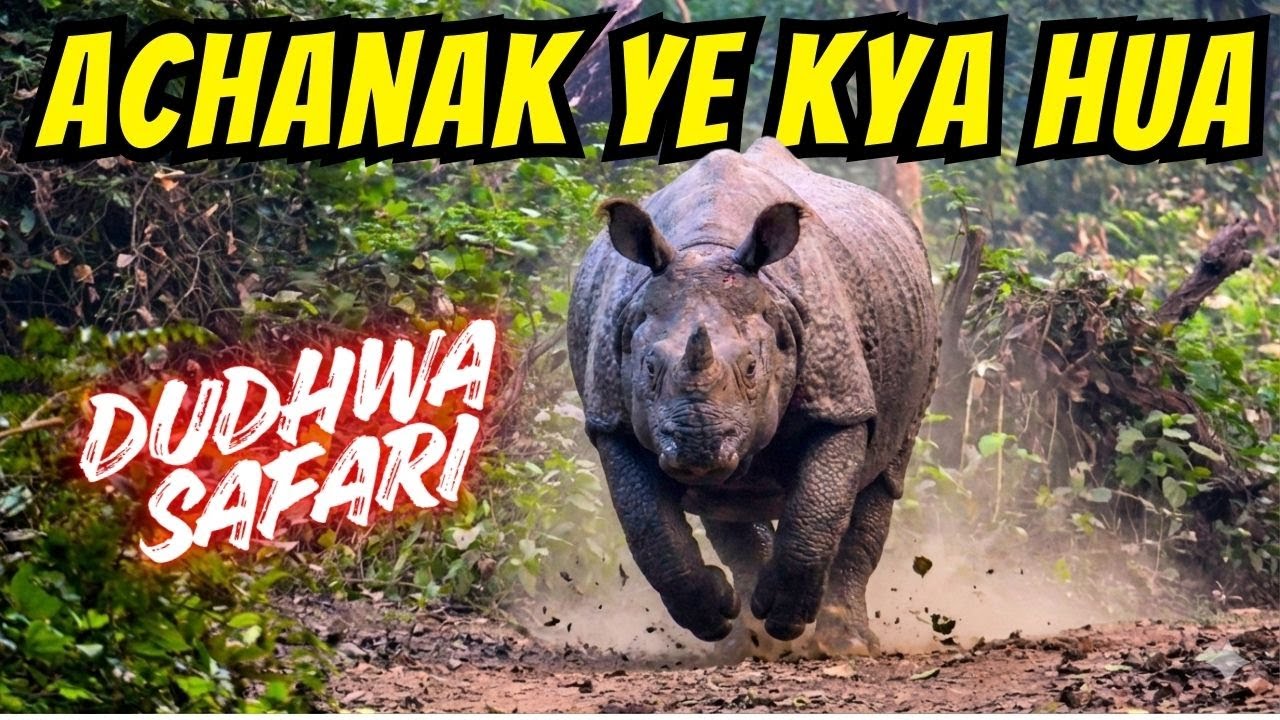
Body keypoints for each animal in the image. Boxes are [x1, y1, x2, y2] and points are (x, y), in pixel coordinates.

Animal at [567, 138, 939, 655]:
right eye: (649, 369)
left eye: (750, 369)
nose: (697, 447)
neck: (706, 249)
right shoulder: (611, 417)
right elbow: (649, 528)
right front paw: (721, 615)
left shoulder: (840, 401)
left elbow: (819, 506)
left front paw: (785, 618)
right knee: (725, 505)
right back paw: (745, 639)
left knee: (886, 473)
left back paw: (844, 643)